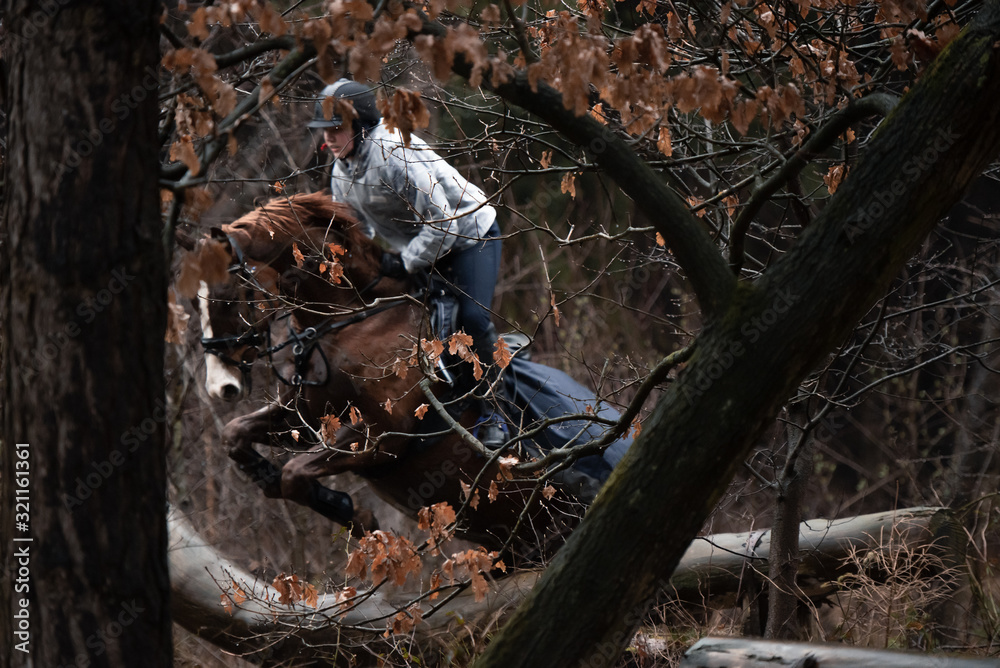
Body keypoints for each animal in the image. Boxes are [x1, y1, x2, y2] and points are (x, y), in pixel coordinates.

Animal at [194, 192, 628, 559]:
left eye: (227, 298)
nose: (221, 386)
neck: (352, 320)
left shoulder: (388, 434)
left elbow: (295, 473)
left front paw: (355, 516)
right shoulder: (306, 415)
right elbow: (235, 434)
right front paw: (267, 477)